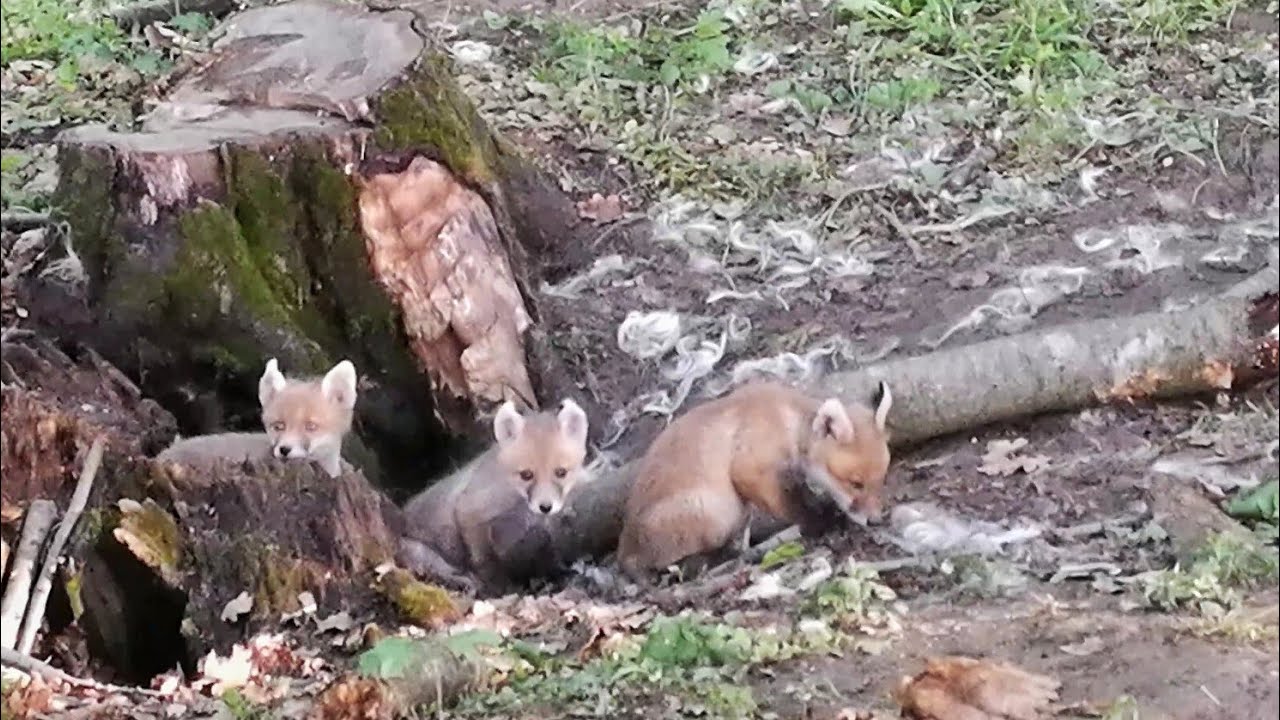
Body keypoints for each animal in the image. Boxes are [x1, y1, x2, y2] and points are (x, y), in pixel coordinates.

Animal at [397, 398, 590, 594]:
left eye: (561, 472)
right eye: (526, 475)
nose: (545, 507)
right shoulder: (470, 513)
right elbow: (484, 562)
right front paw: (497, 587)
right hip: (420, 552)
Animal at [616, 380, 894, 582]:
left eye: (881, 480)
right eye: (856, 483)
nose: (876, 520)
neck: (786, 422)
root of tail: (625, 548)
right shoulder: (750, 471)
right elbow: (793, 509)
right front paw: (819, 523)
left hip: (737, 510)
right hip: (716, 511)